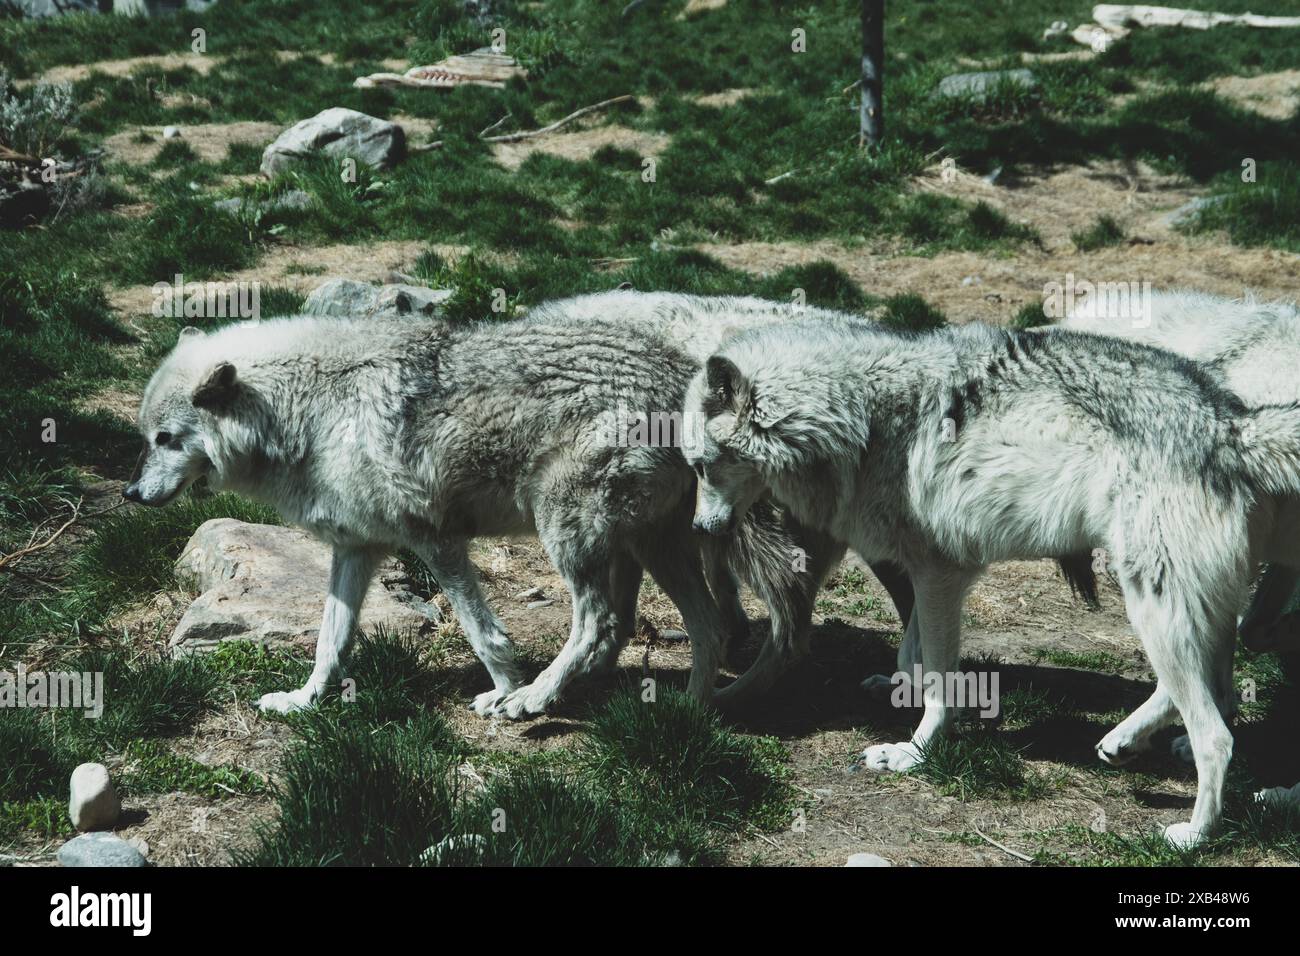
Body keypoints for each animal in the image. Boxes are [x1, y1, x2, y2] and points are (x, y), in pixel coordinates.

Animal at [127, 292, 911, 720]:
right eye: (143, 438)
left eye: (167, 439)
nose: (132, 494)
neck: (310, 409)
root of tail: (681, 379)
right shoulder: (357, 550)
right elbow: (329, 643)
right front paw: (302, 701)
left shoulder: (435, 541)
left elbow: (484, 634)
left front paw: (503, 689)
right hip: (653, 544)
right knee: (709, 624)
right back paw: (695, 711)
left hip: (571, 532)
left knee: (602, 622)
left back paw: (536, 698)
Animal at [687, 317, 1300, 847]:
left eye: (700, 466)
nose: (698, 529)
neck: (864, 419)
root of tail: (1234, 424)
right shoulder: (937, 576)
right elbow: (910, 653)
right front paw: (897, 688)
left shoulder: (939, 573)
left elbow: (938, 681)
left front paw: (913, 754)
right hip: (1180, 609)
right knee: (1215, 690)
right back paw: (1125, 743)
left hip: (1152, 607)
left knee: (1217, 735)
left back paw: (1194, 834)